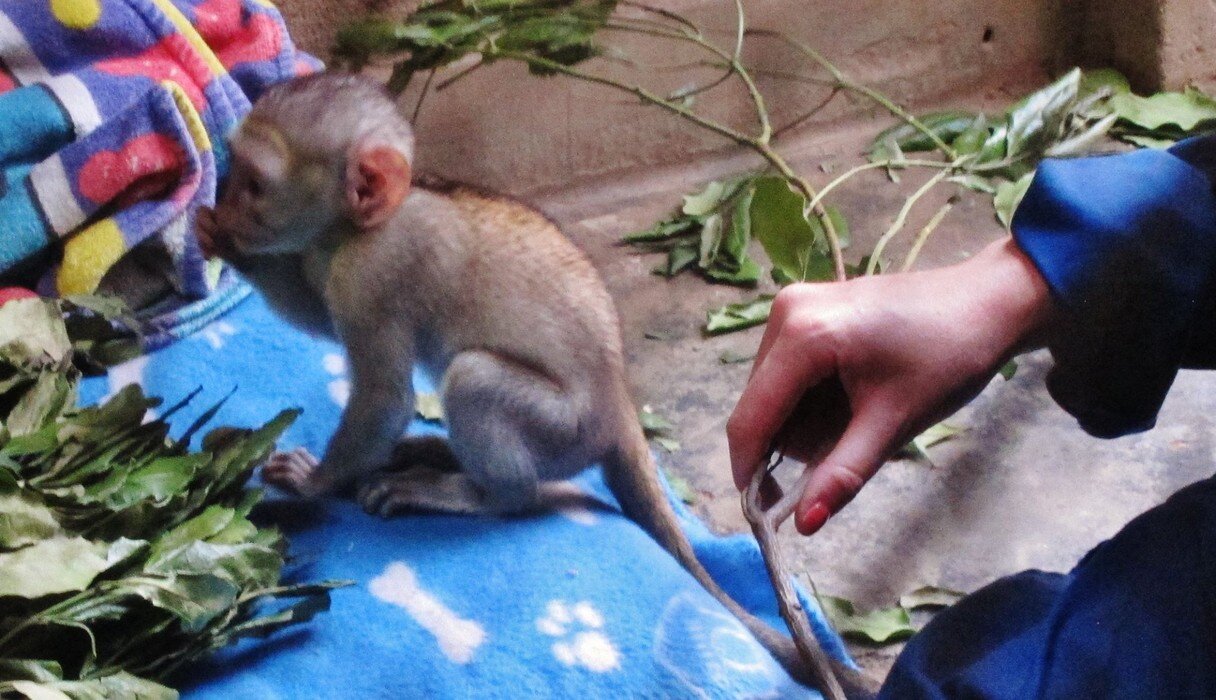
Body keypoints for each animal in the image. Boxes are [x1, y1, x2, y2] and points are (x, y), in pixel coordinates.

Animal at [196, 72, 876, 699]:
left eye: (254, 185)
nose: (226, 209)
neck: (358, 229)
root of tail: (618, 404)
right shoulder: (329, 259)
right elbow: (316, 314)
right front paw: (219, 241)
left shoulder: (375, 270)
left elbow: (383, 394)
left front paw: (315, 482)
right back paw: (437, 453)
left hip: (563, 431)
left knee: (474, 382)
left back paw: (479, 494)